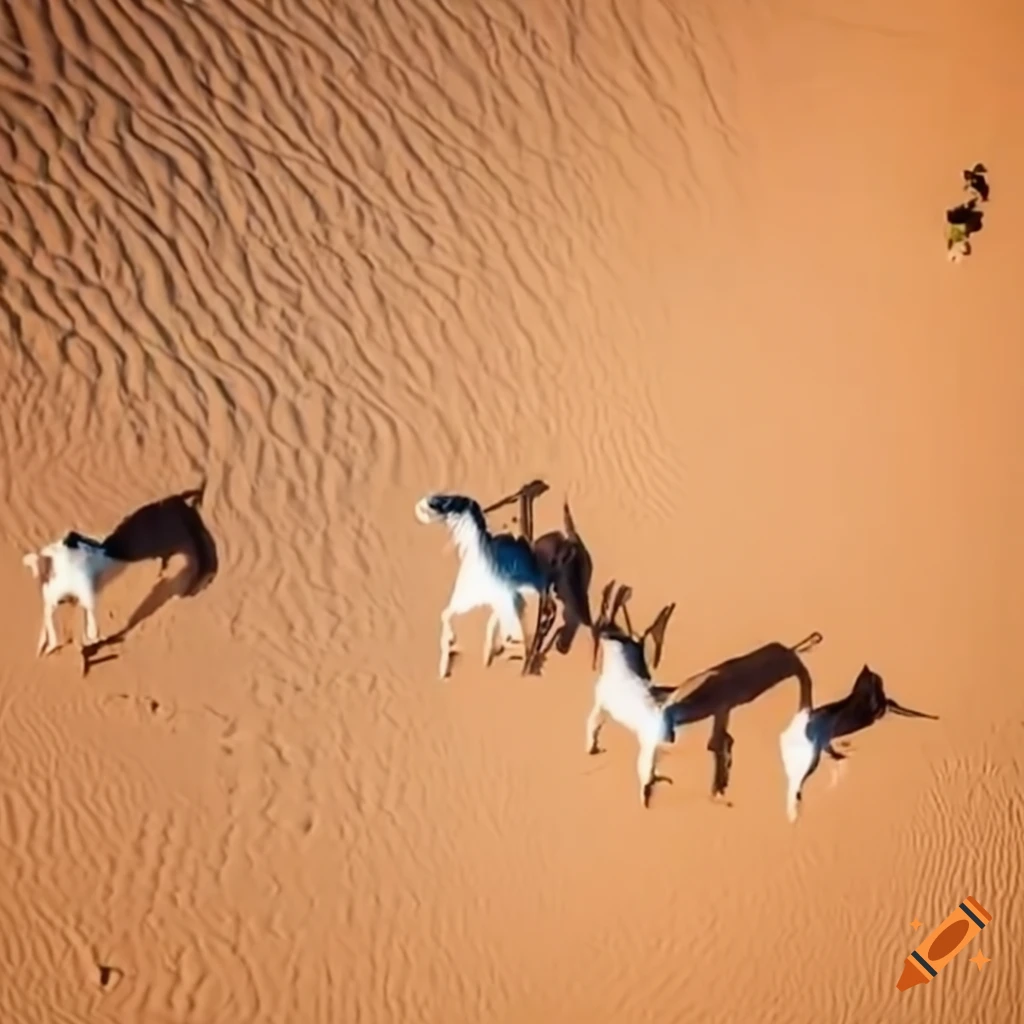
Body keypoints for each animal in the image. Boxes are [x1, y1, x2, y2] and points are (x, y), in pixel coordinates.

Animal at [779, 664, 938, 823]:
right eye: (876, 677)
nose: (878, 677)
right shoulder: (877, 711)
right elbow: (899, 708)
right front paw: (930, 716)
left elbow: (897, 705)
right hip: (817, 749)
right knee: (810, 769)